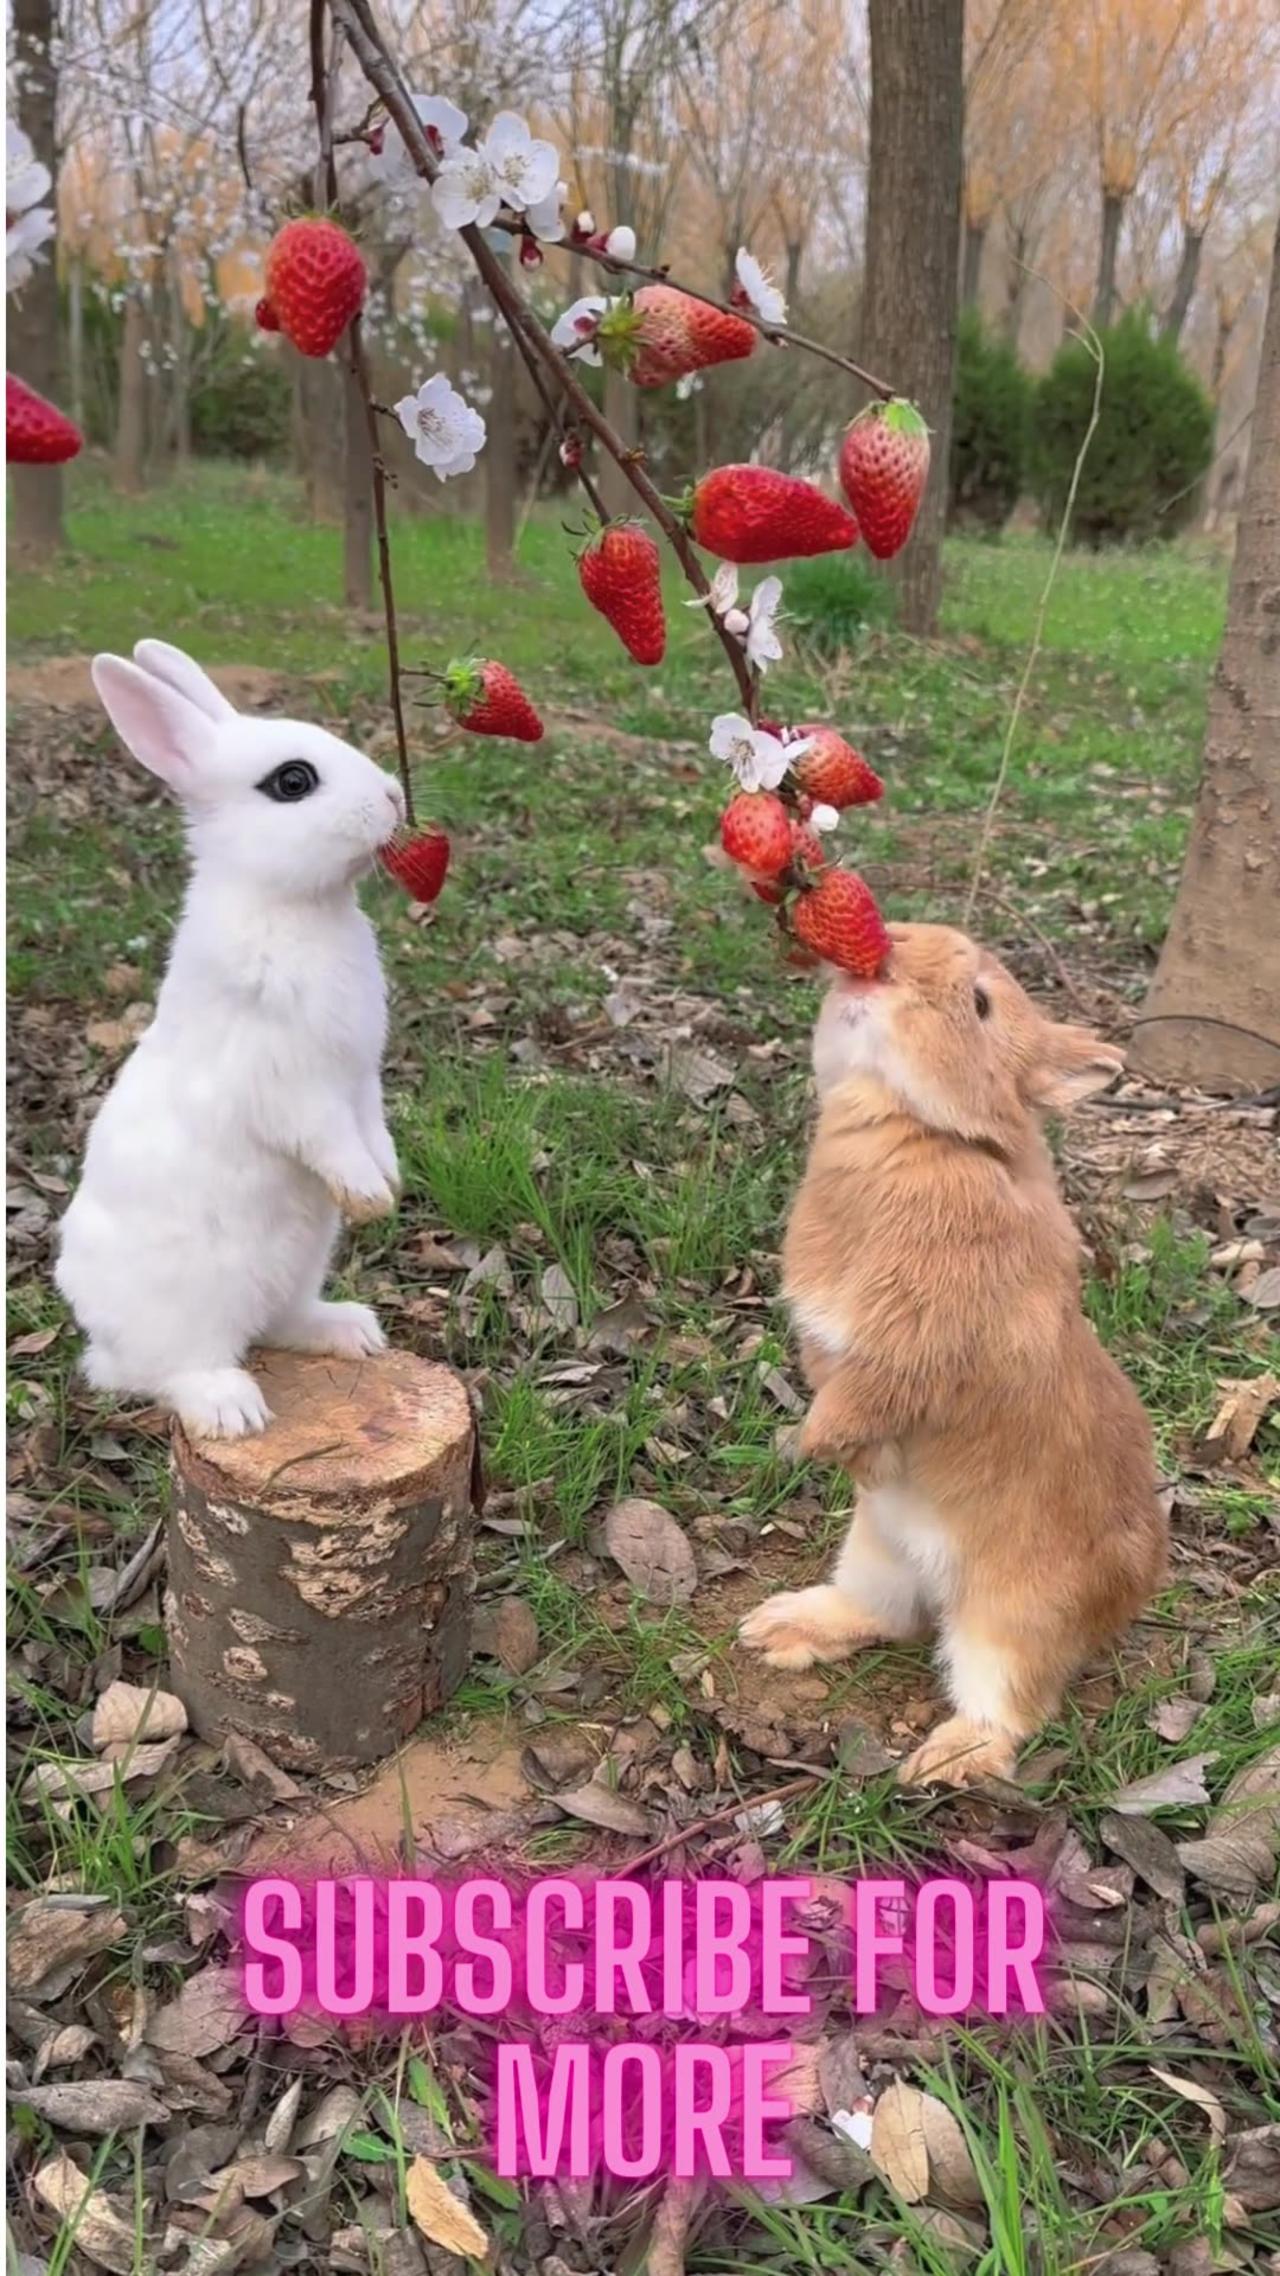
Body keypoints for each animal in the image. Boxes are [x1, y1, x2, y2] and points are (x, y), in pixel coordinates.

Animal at [55, 639, 407, 1441]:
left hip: (299, 1265)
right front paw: (371, 1195)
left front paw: (390, 1181)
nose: (394, 797)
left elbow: (373, 1130)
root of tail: (101, 1340)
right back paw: (232, 1409)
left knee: (280, 1323)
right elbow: (332, 1142)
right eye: (292, 782)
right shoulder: (295, 1090)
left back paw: (352, 1330)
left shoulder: (360, 1081)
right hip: (187, 1310)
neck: (295, 908)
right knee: (170, 1373)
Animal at [739, 922, 1168, 1788]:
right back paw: (779, 1628)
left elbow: (870, 1397)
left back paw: (940, 1763)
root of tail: (1133, 1591)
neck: (923, 1128)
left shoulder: (915, 1341)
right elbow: (837, 1394)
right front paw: (851, 1461)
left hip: (1008, 1619)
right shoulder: (829, 1345)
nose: (892, 946)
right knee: (882, 1616)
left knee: (1008, 1709)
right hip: (874, 1553)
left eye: (979, 1004)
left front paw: (817, 1447)